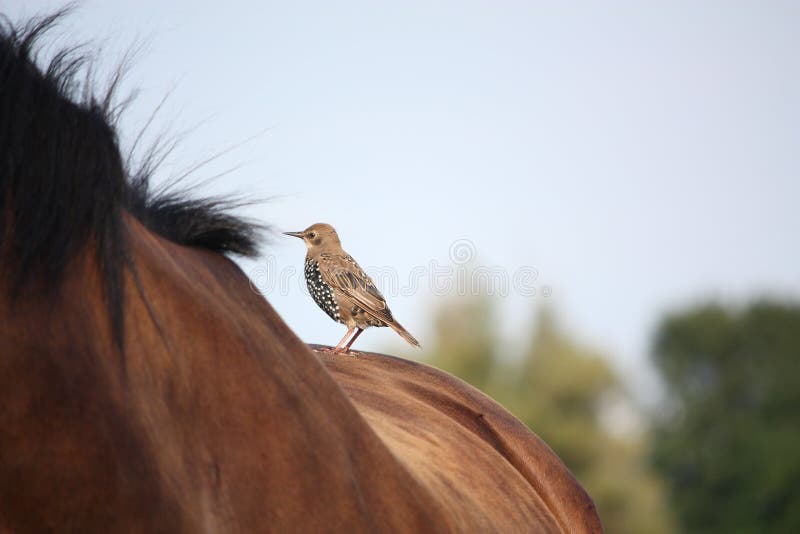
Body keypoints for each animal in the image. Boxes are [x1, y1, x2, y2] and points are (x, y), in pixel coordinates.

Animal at [0, 12, 602, 533]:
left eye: (312, 237)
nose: (295, 235)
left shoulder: (344, 294)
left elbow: (349, 322)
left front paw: (336, 349)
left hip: (372, 312)